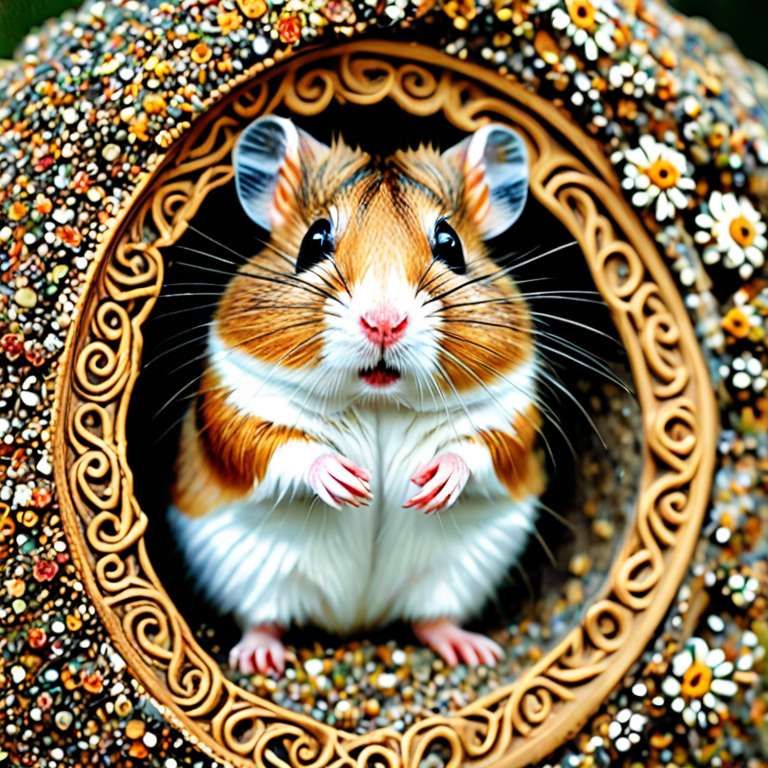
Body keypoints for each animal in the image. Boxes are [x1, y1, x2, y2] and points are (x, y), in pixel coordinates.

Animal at [167, 115, 546, 674]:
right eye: (314, 240)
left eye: (450, 244)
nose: (384, 323)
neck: (378, 399)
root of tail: (356, 621)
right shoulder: (234, 403)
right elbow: (281, 447)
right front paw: (354, 485)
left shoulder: (510, 409)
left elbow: (477, 448)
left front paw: (429, 485)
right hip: (255, 574)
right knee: (265, 617)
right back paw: (258, 659)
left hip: (453, 574)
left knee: (430, 617)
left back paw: (473, 651)